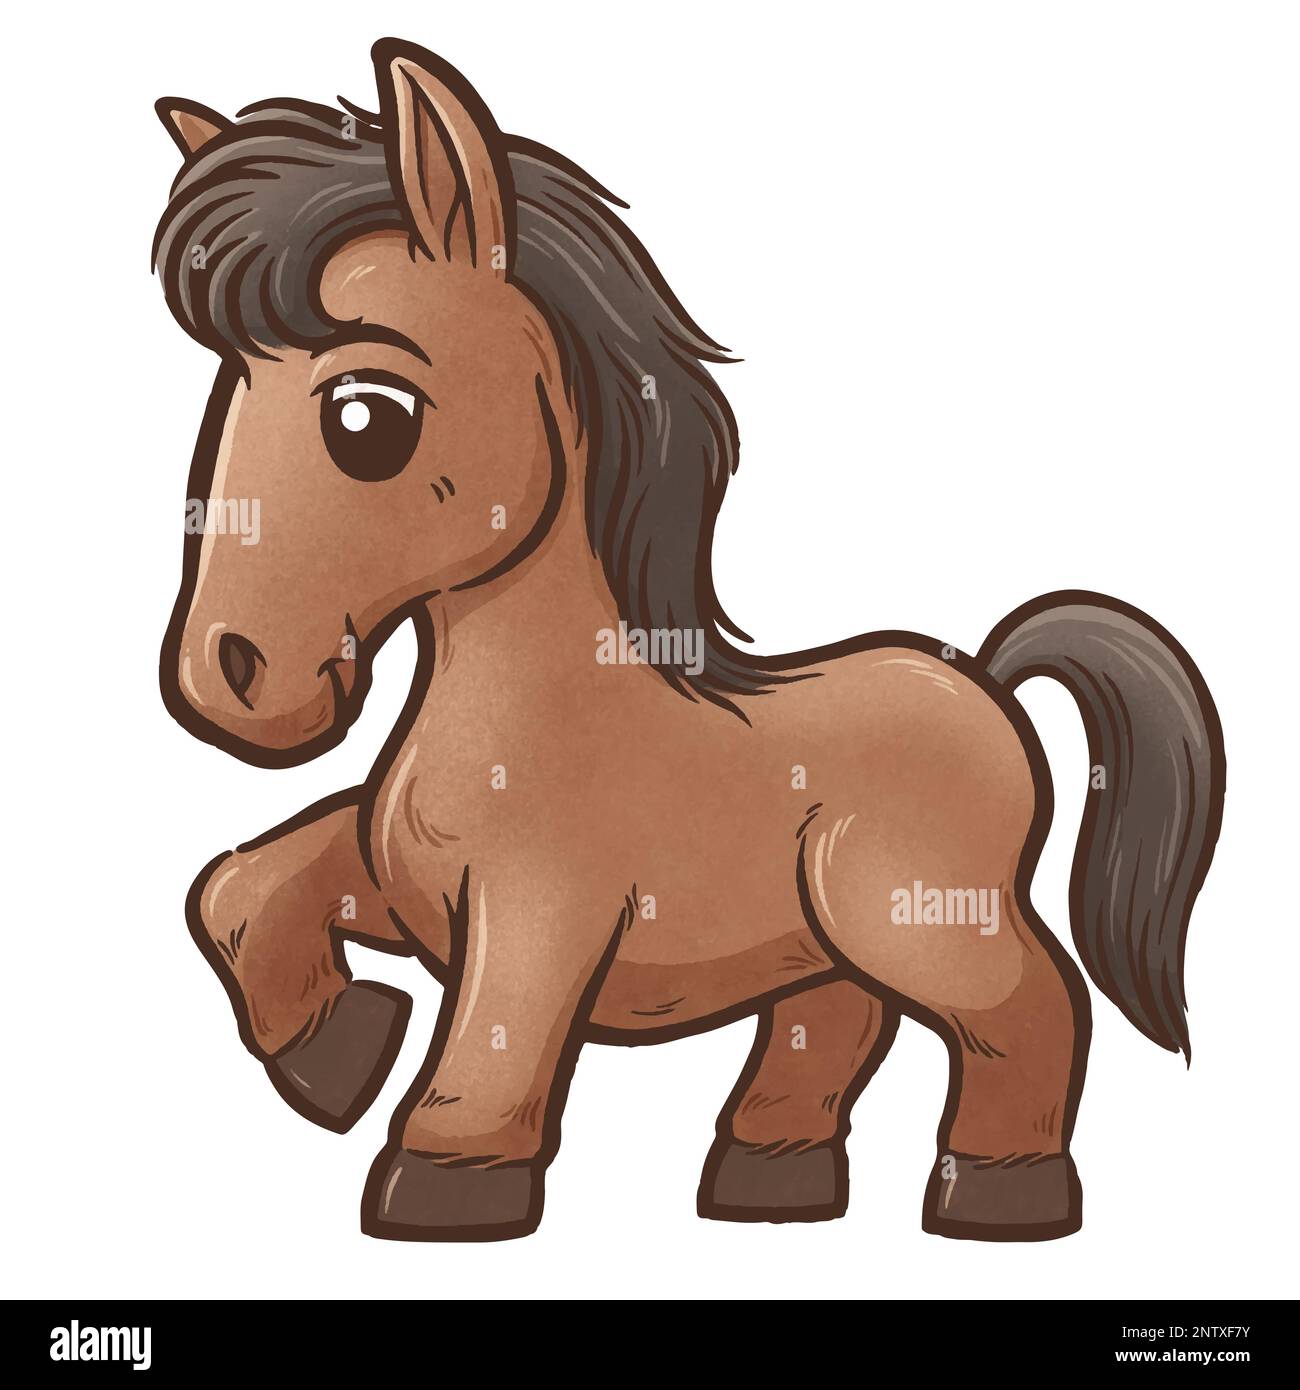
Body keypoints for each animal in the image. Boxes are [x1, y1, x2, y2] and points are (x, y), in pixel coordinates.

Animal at [153, 38, 1225, 1242]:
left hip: (921, 919)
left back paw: (999, 1191)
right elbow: (241, 889)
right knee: (835, 1021)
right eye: (230, 385)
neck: (524, 722)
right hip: (826, 942)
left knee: (1029, 1005)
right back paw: (768, 1174)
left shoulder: (538, 919)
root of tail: (983, 678)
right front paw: (335, 1051)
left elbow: (490, 1041)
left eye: (367, 415)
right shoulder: (401, 885)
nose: (224, 677)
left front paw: (443, 1177)